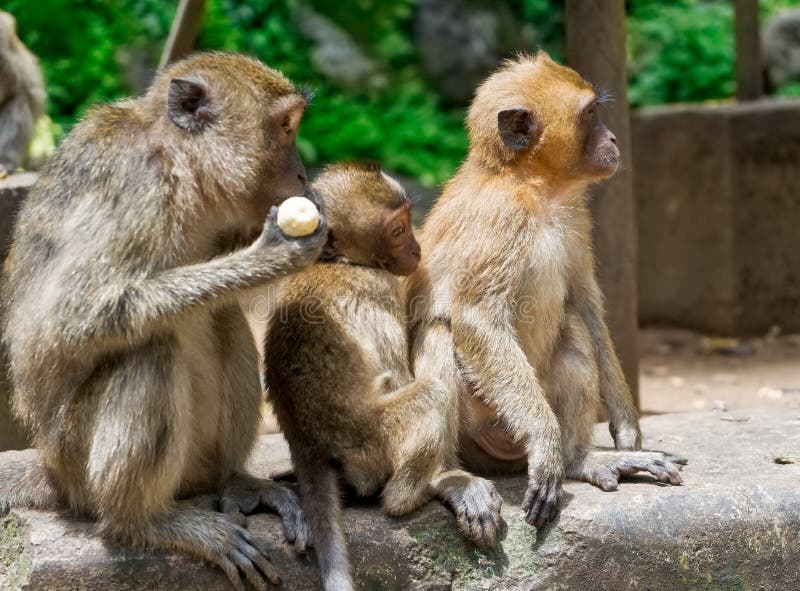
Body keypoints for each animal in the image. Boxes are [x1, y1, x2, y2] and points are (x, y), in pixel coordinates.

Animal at [0, 52, 328, 591]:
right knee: (149, 351)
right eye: (284, 128)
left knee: (223, 317)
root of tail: (50, 466)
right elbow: (70, 318)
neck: (182, 168)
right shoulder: (136, 188)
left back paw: (235, 482)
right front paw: (274, 256)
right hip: (75, 462)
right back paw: (143, 522)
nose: (303, 176)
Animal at [264, 162, 503, 591]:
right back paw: (414, 493)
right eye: (396, 231)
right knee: (432, 395)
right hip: (372, 447)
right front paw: (451, 480)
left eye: (408, 223)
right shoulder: (379, 289)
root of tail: (308, 442)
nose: (416, 249)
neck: (337, 262)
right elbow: (399, 374)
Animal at [407, 51, 686, 531]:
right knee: (440, 335)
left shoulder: (575, 213)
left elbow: (586, 305)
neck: (534, 188)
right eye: (590, 115)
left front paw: (626, 427)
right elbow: (477, 319)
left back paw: (577, 460)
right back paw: (450, 477)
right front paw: (545, 441)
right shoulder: (497, 217)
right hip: (481, 428)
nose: (613, 138)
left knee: (573, 327)